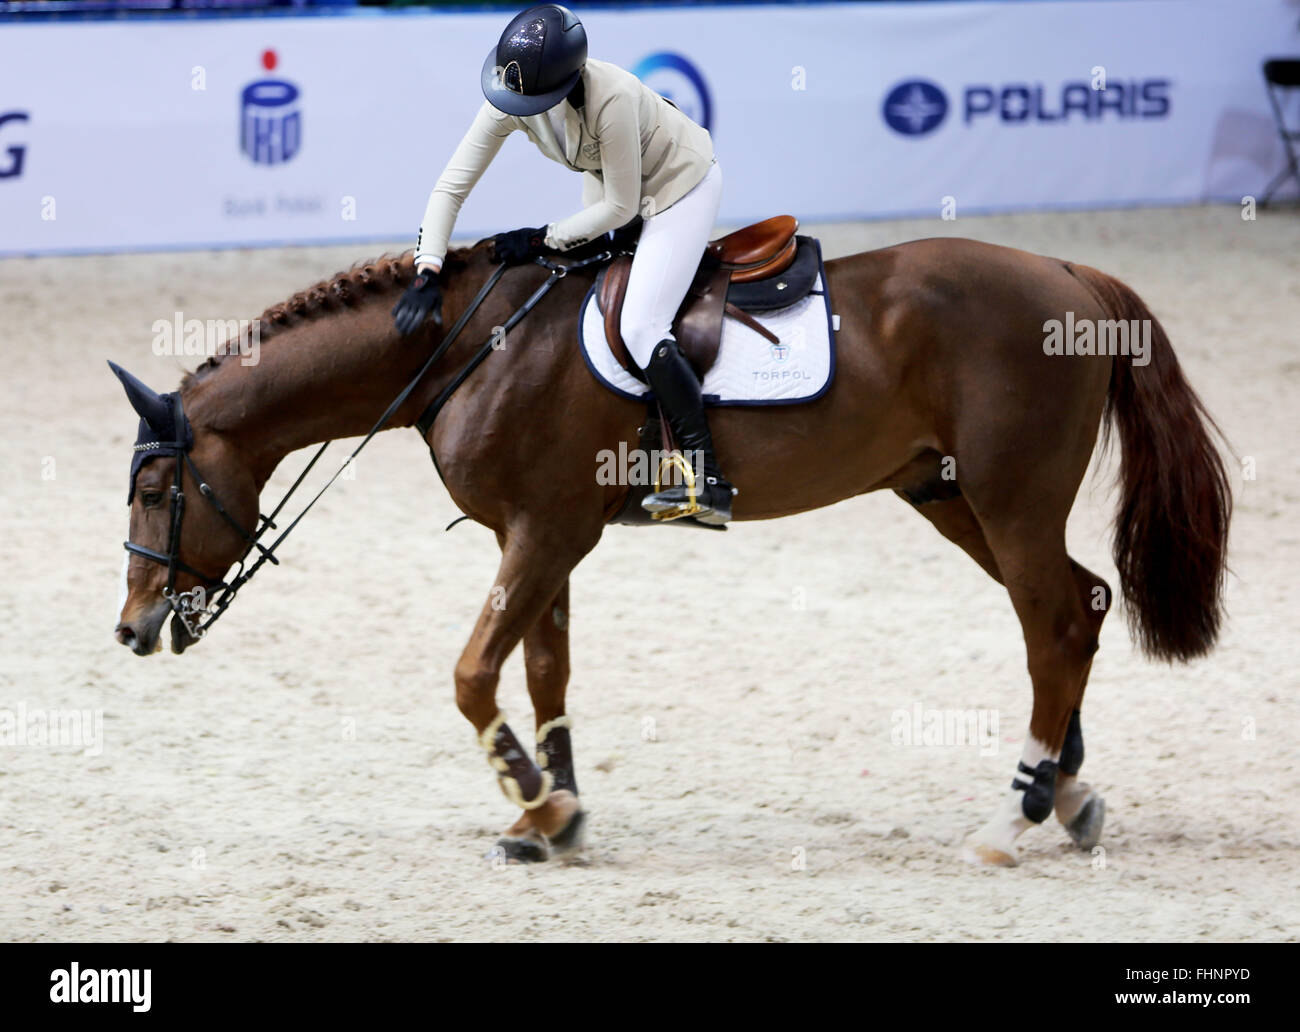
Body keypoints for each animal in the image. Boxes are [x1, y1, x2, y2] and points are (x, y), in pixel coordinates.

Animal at [110, 234, 1231, 866]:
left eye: (158, 493)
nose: (130, 629)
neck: (470, 347)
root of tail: (1068, 273)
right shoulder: (543, 535)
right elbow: (546, 669)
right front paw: (550, 813)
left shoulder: (543, 532)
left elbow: (474, 676)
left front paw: (542, 808)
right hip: (946, 494)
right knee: (1076, 610)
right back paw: (1065, 795)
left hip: (1009, 499)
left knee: (1056, 623)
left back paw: (1015, 819)